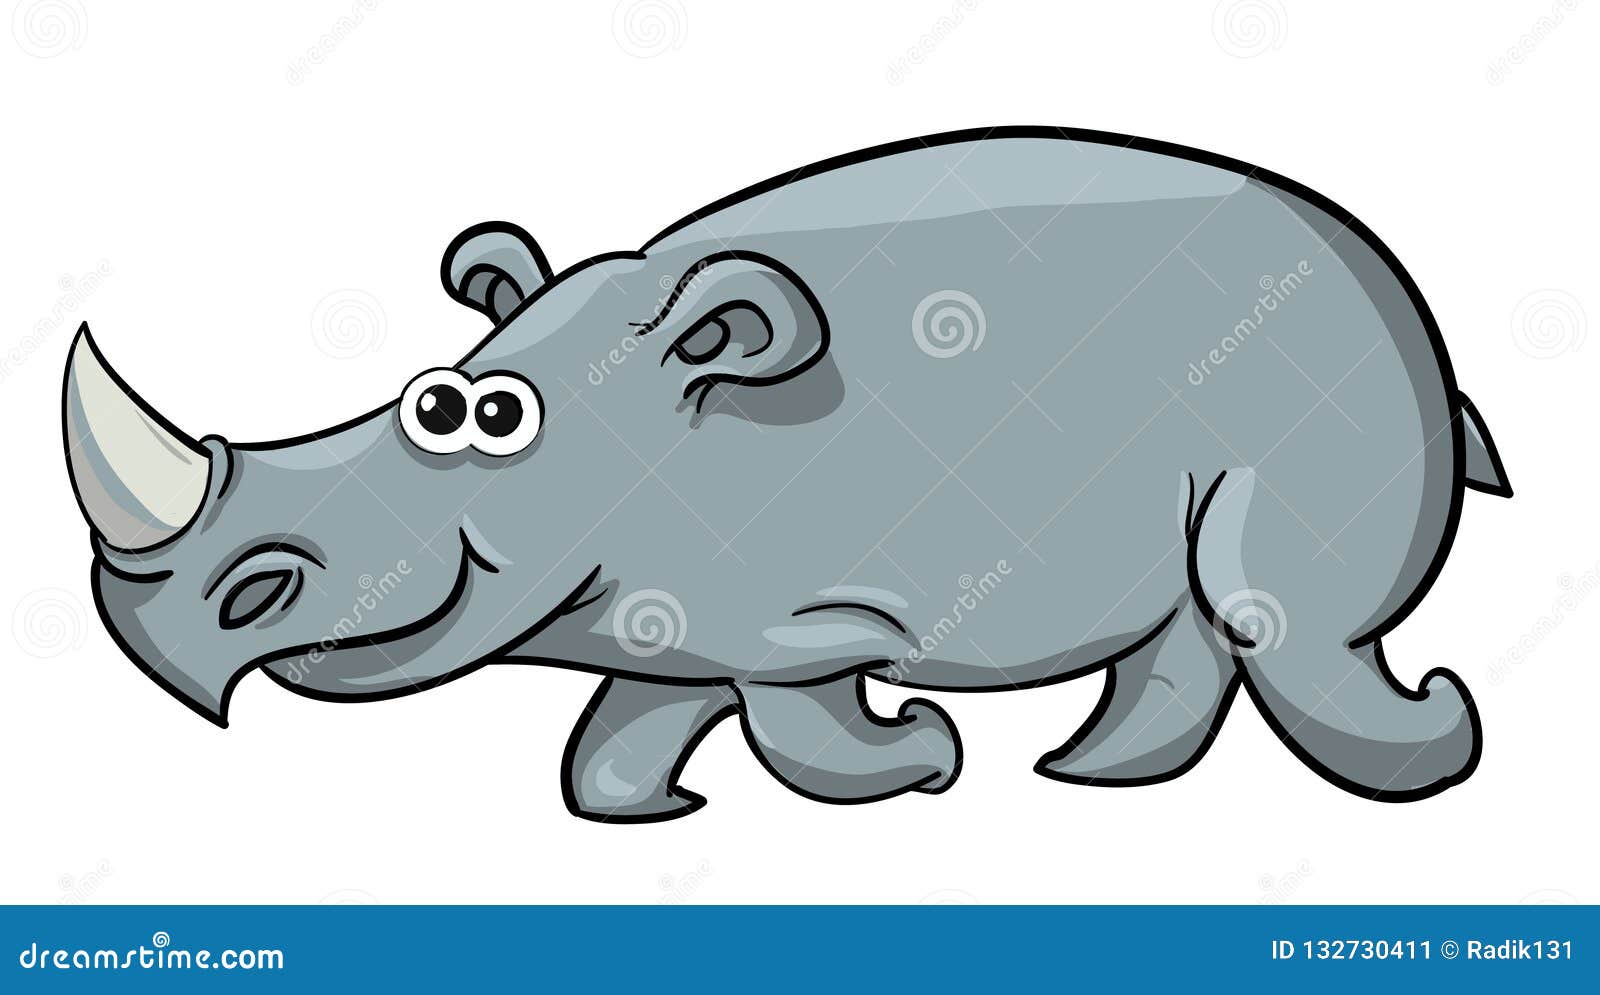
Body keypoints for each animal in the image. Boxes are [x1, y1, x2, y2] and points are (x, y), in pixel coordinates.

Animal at [63, 127, 1511, 822]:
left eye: (472, 415)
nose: (157, 631)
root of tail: (1406, 303)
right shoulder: (670, 625)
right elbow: (620, 730)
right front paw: (646, 812)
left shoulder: (806, 619)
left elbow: (798, 724)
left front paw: (917, 759)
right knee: (1188, 617)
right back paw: (1088, 779)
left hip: (1326, 403)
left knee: (1274, 610)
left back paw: (1430, 746)